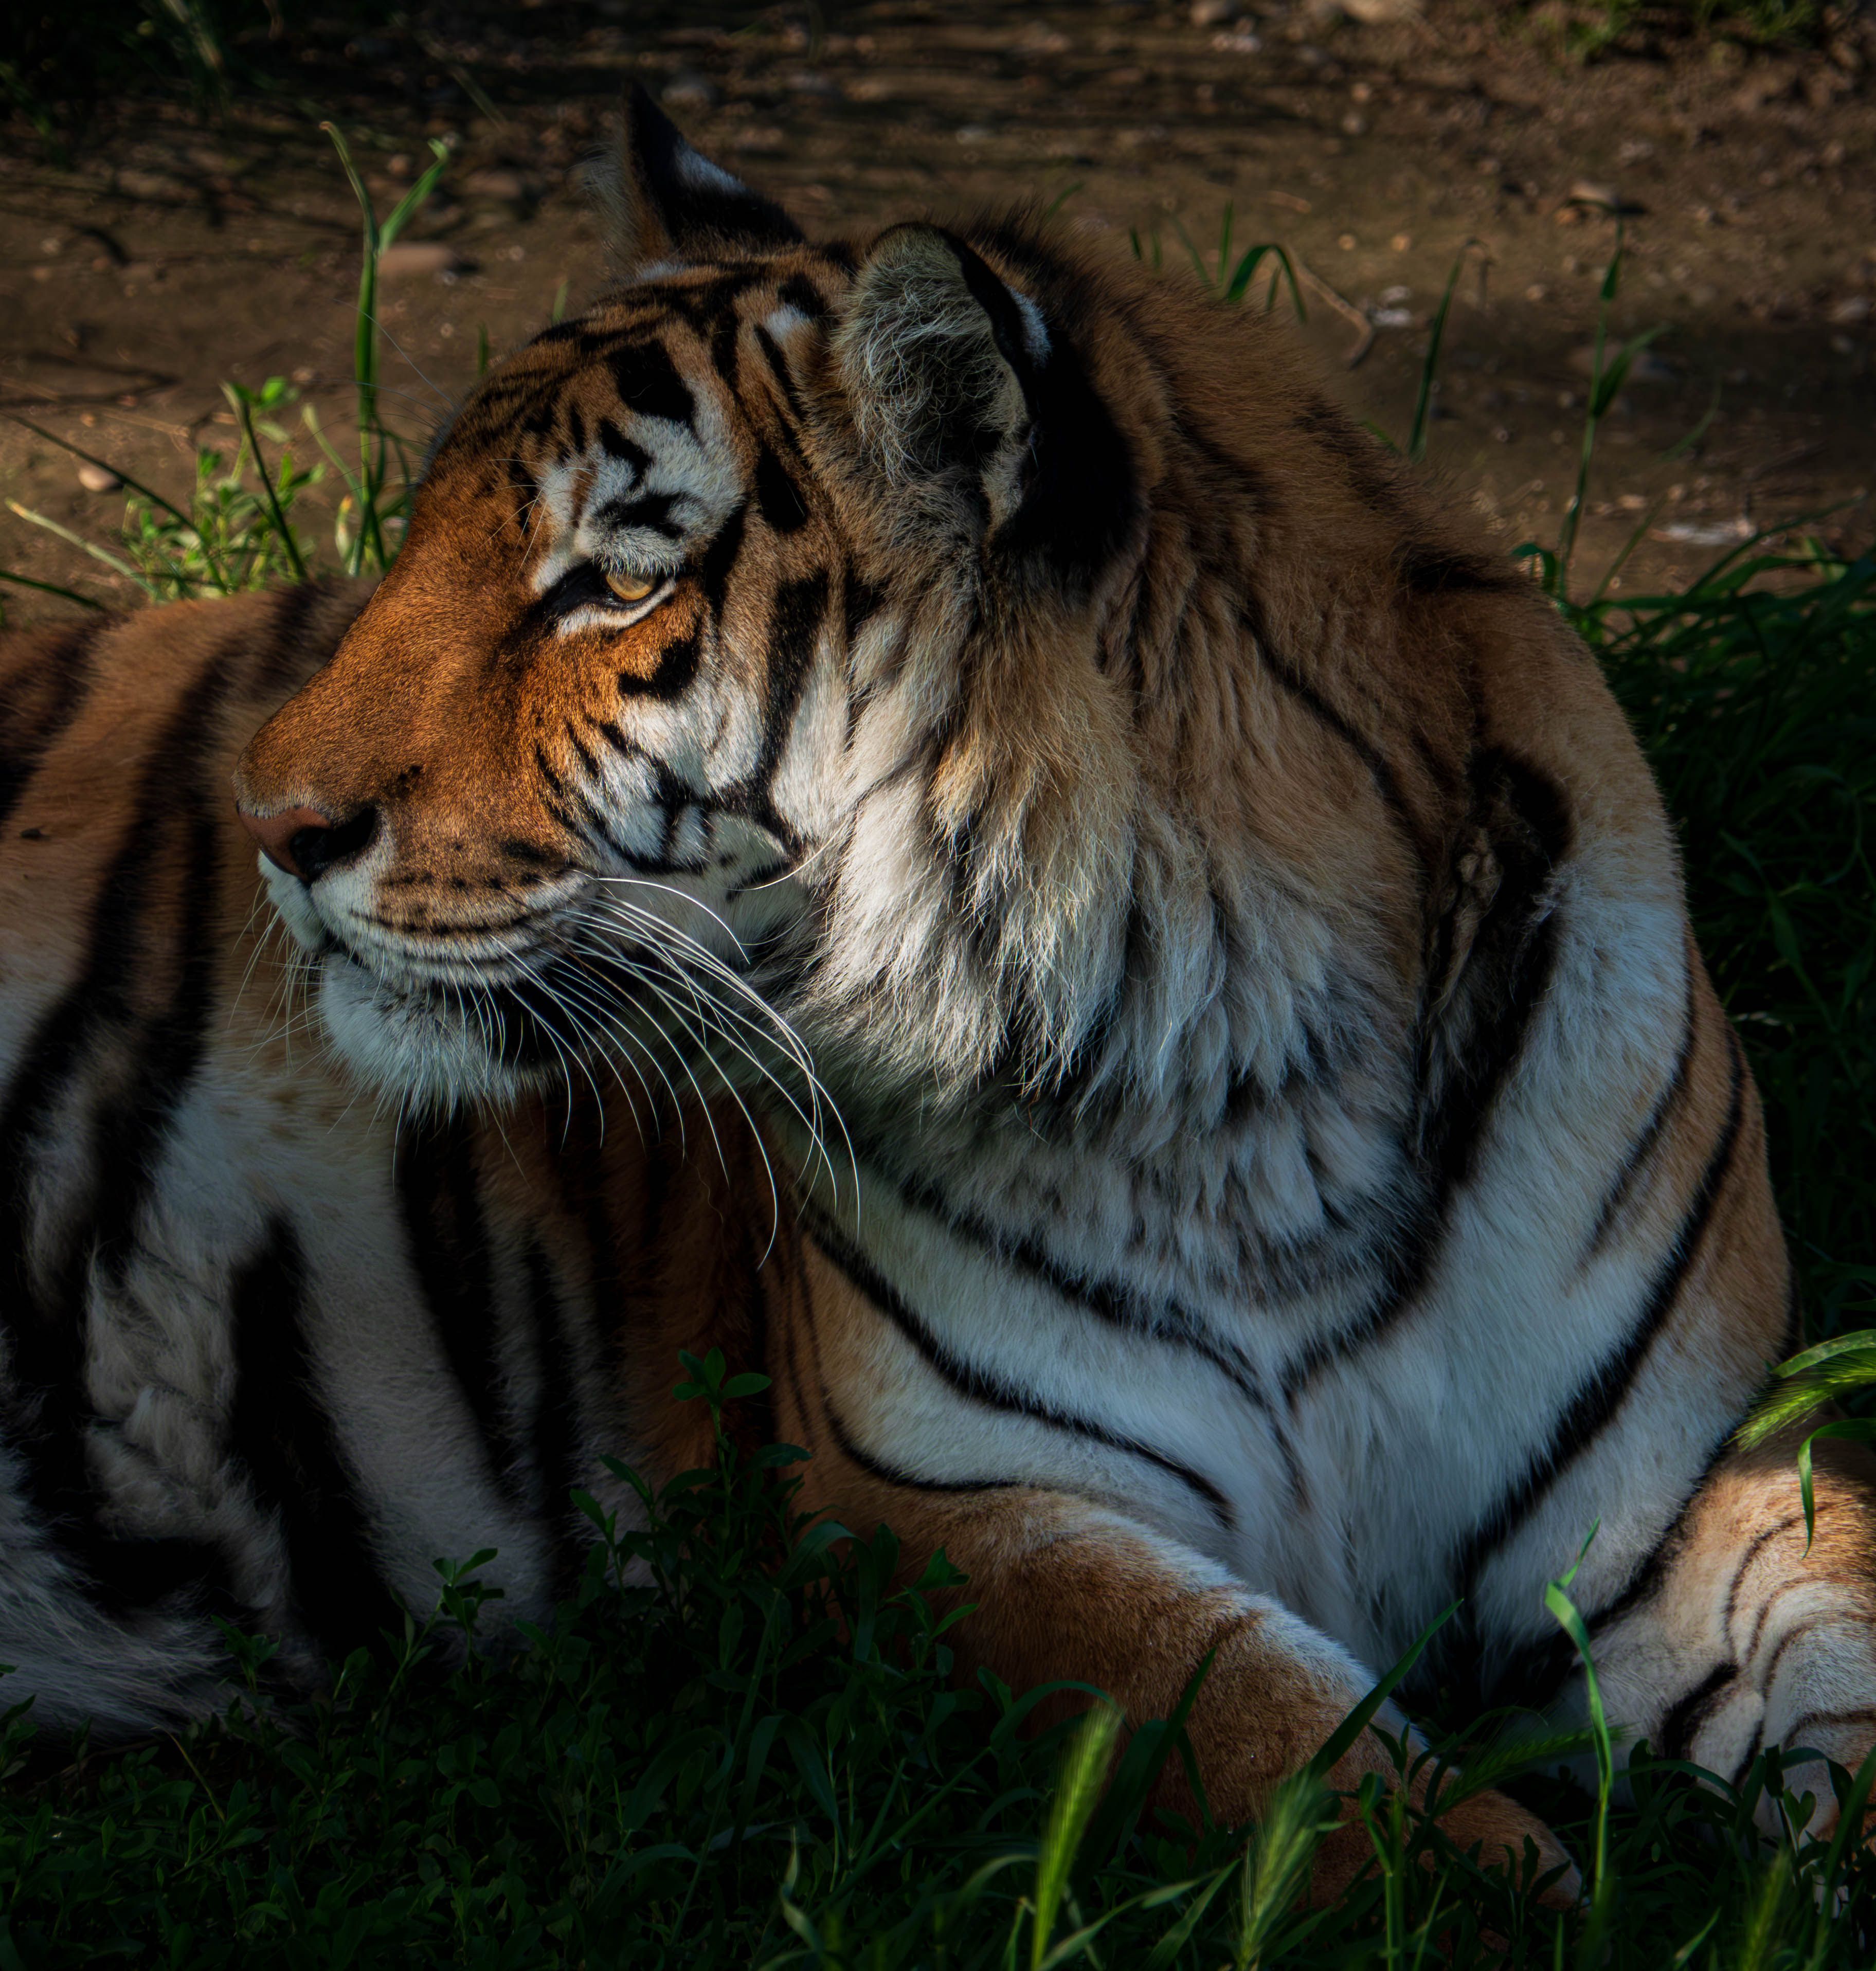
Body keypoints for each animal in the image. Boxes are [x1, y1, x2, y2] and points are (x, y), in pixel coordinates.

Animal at [5, 83, 1874, 1899]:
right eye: (418, 551)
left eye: (617, 582)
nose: (269, 822)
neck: (1256, 1079)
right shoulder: (950, 1505)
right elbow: (1330, 1792)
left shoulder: (1667, 1479)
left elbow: (1835, 1653)